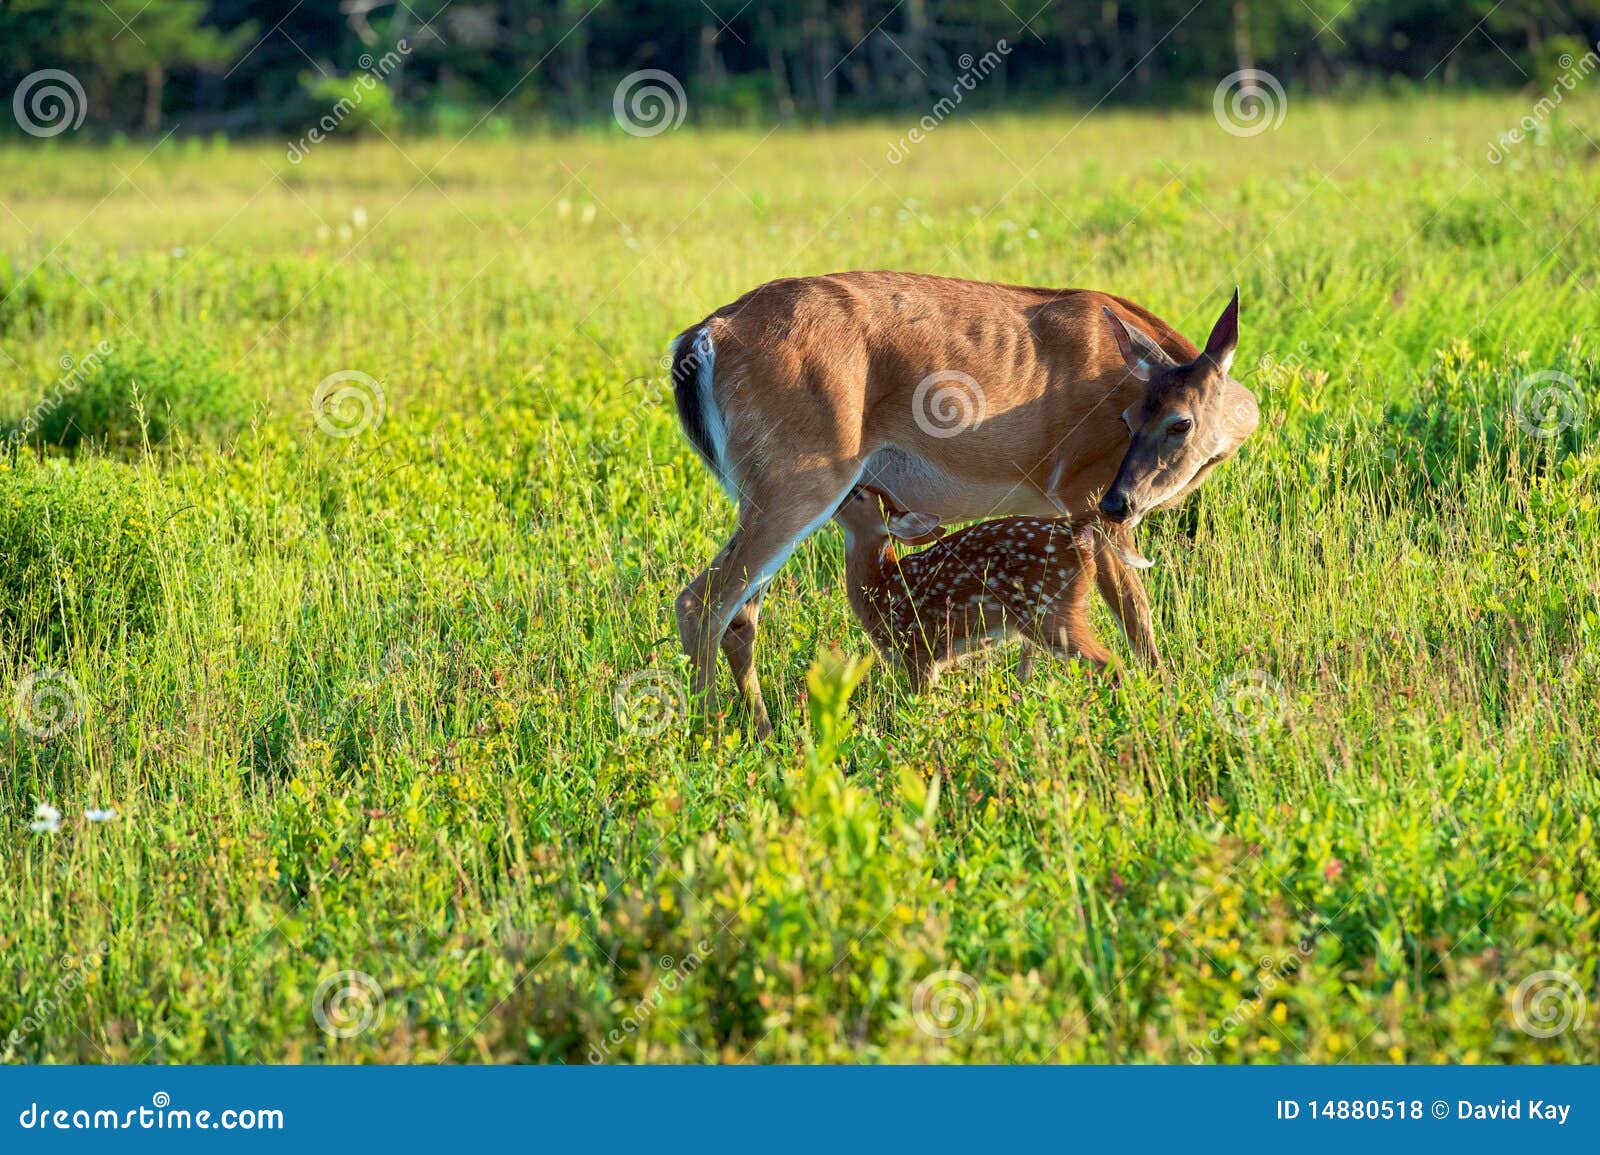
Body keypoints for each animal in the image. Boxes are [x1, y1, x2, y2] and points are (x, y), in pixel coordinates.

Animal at [832, 486, 1114, 689]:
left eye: (858, 494)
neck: (881, 585)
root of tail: (1077, 533)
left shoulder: (919, 648)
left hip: (1050, 609)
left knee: (1108, 662)